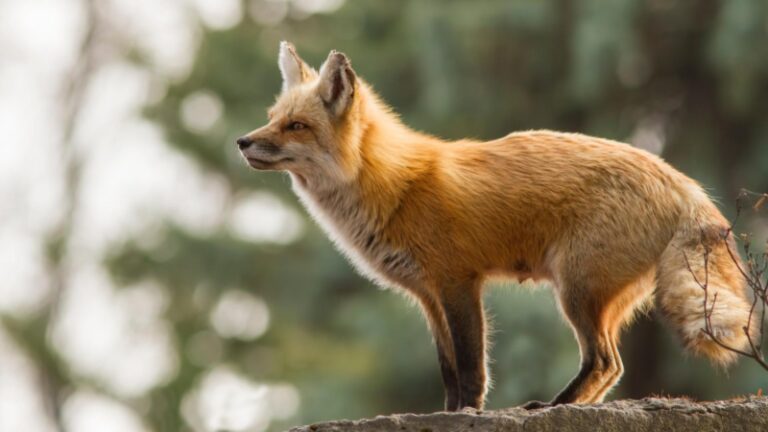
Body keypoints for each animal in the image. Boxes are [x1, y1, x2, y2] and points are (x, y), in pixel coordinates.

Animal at [235, 42, 754, 410]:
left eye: (297, 127)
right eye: (272, 119)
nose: (242, 141)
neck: (393, 186)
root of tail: (683, 183)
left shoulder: (459, 282)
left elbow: (470, 368)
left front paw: (468, 413)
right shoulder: (428, 296)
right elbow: (447, 369)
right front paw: (447, 413)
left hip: (577, 291)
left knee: (605, 361)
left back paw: (552, 407)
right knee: (609, 368)